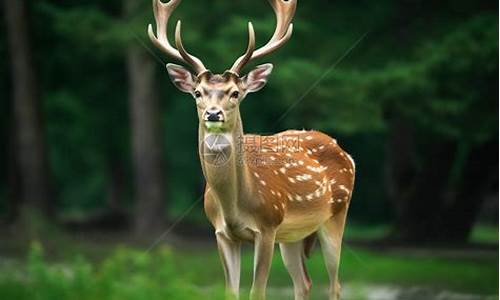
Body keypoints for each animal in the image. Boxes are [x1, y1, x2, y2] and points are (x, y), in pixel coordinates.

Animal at [147, 0, 356, 300]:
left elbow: (257, 292)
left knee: (335, 285)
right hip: (292, 235)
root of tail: (344, 151)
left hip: (336, 214)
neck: (235, 206)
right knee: (303, 282)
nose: (213, 114)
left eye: (235, 92)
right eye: (198, 92)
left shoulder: (267, 227)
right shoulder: (221, 234)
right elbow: (230, 292)